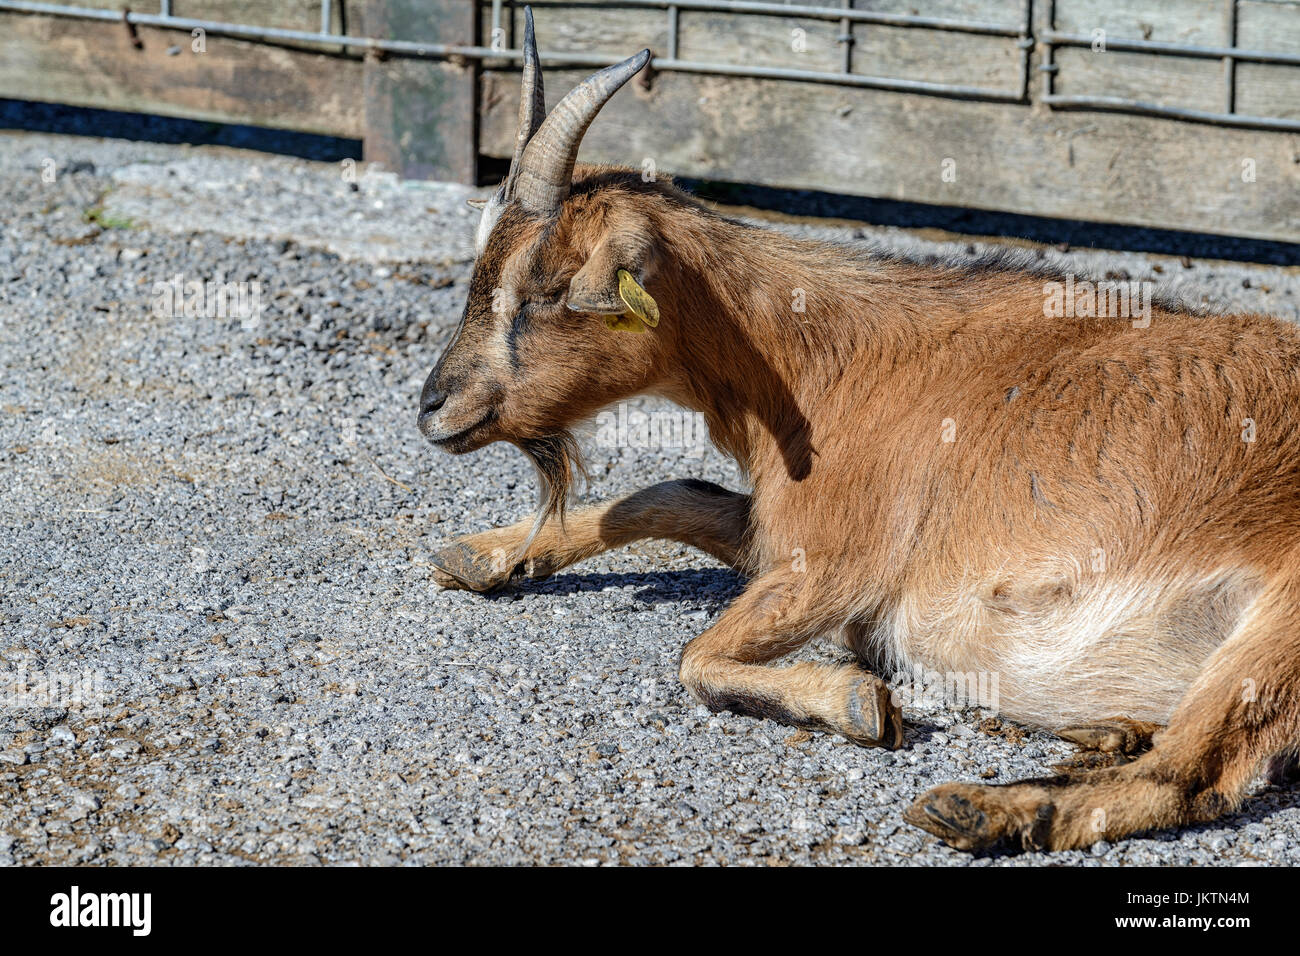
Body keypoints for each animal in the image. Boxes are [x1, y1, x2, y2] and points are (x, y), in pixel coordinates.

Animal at [419, 7, 1300, 852]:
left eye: (547, 289)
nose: (433, 405)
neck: (828, 363)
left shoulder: (838, 564)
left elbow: (697, 657)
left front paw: (851, 700)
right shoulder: (783, 529)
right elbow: (673, 491)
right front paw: (488, 554)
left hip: (1276, 624)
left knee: (1194, 774)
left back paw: (980, 809)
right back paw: (1103, 731)